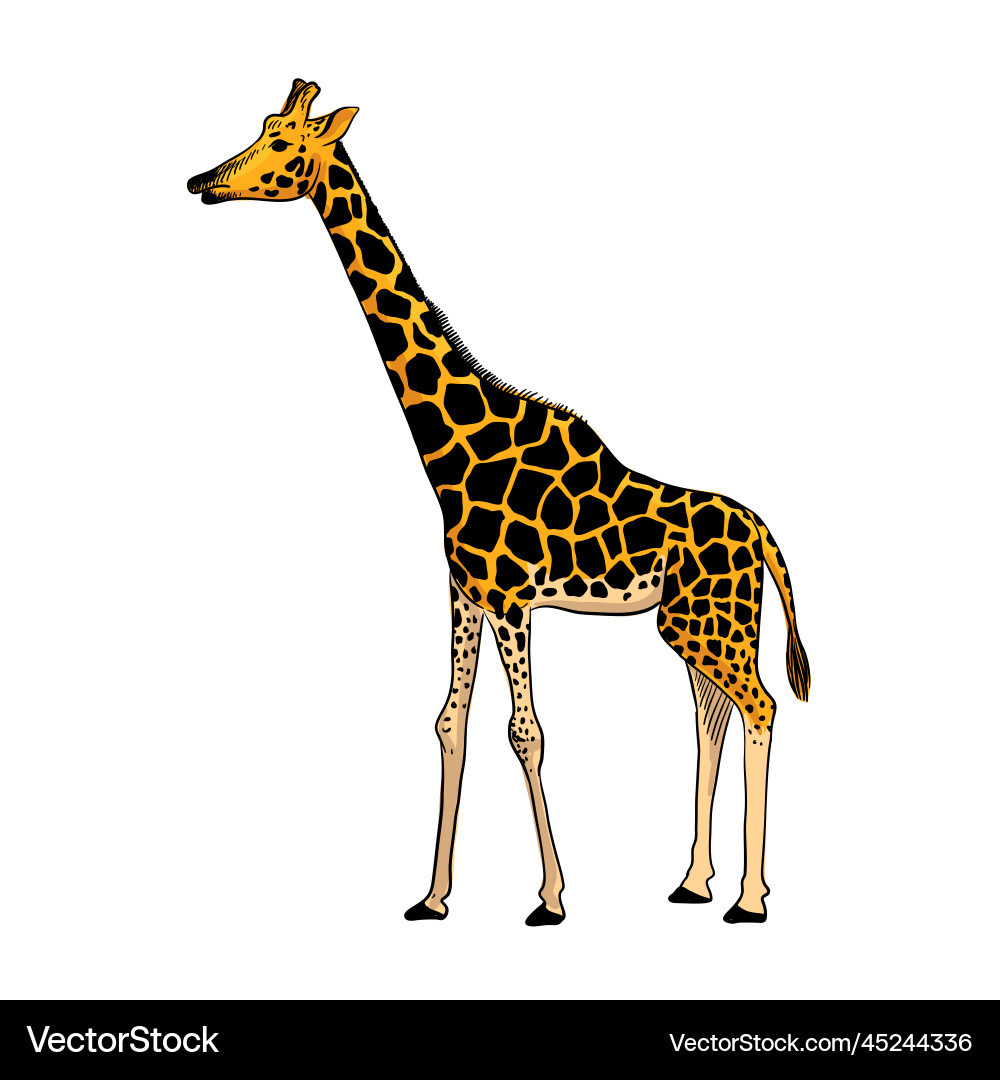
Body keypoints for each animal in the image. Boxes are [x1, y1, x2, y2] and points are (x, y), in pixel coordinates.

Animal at [187, 80, 811, 926]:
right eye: (258, 130)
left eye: (283, 144)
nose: (202, 181)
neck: (454, 446)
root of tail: (765, 534)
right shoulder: (465, 592)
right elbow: (449, 722)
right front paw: (432, 897)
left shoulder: (514, 599)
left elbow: (525, 732)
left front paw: (549, 898)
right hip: (697, 625)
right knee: (712, 716)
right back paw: (693, 883)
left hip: (712, 624)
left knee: (762, 708)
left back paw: (748, 898)